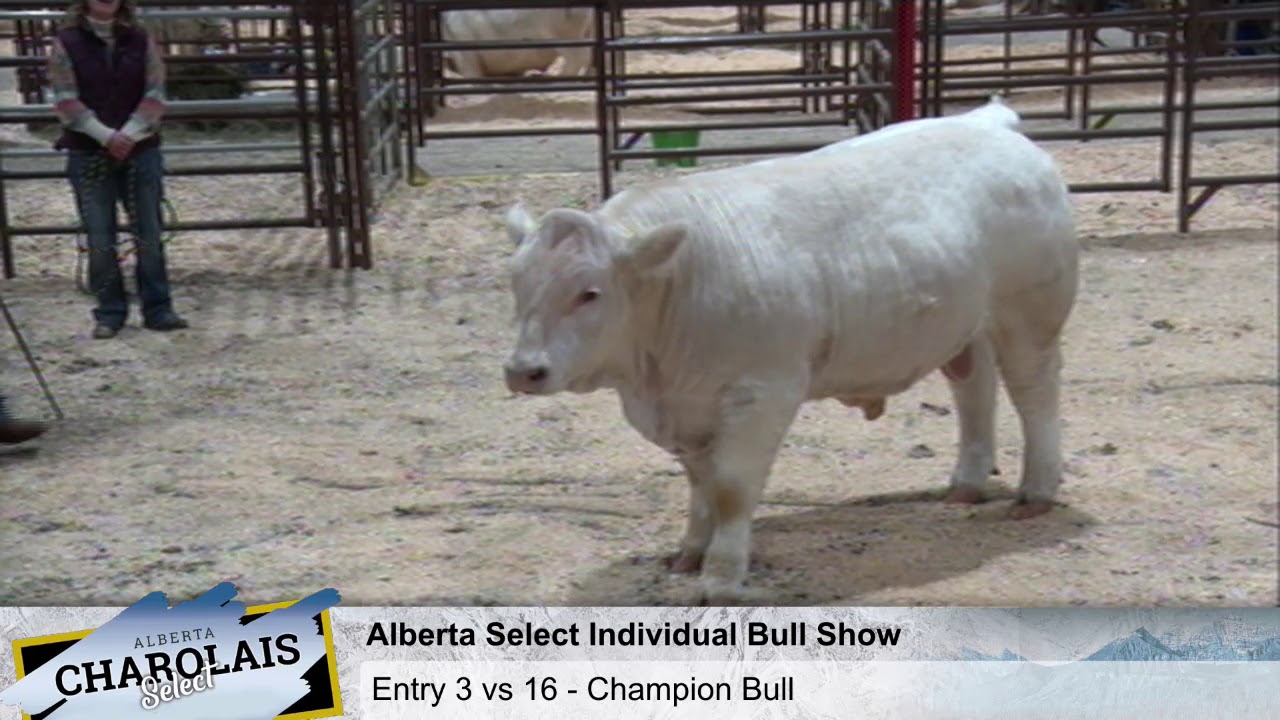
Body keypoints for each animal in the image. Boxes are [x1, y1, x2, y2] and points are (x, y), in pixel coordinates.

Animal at [501, 97, 1080, 605]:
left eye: (589, 293)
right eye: (516, 281)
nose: (523, 370)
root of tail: (987, 121)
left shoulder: (764, 392)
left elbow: (731, 487)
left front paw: (721, 580)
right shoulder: (689, 410)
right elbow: (700, 482)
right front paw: (690, 552)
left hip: (1029, 315)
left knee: (1034, 393)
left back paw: (1036, 491)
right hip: (965, 324)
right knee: (973, 387)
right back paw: (967, 483)